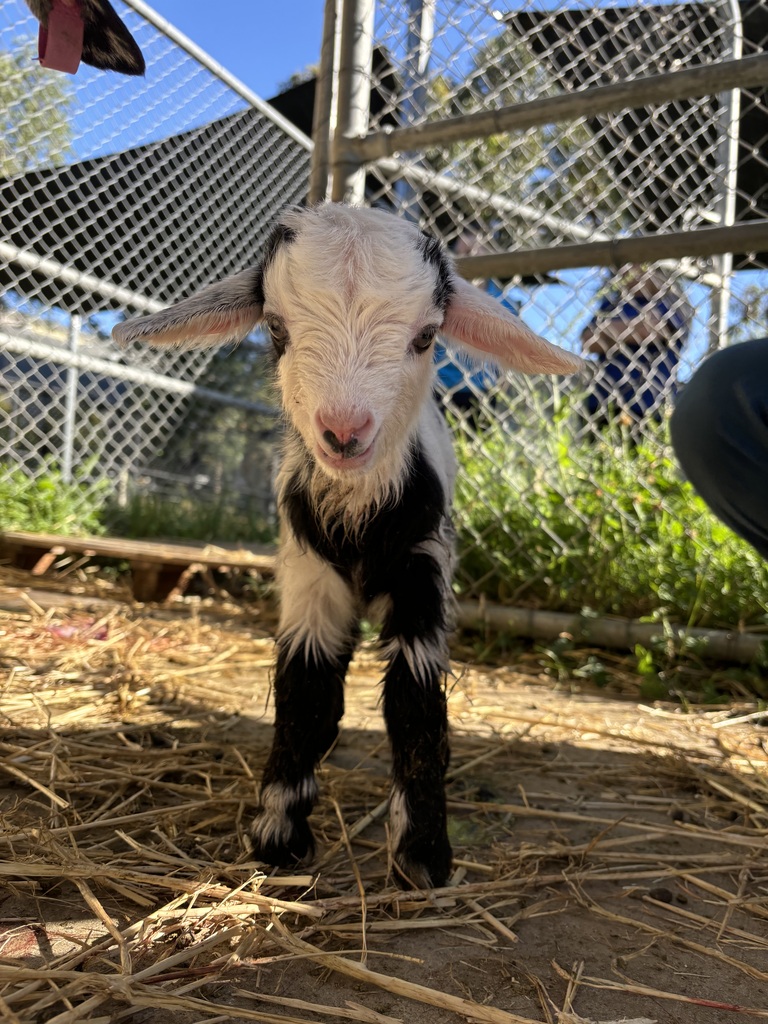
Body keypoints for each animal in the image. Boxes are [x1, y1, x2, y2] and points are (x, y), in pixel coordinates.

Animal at [114, 203, 583, 888]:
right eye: (275, 328)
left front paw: (423, 854)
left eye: (426, 336)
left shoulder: (424, 570)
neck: (360, 521)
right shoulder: (308, 574)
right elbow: (306, 690)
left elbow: (414, 702)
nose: (343, 431)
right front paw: (278, 834)